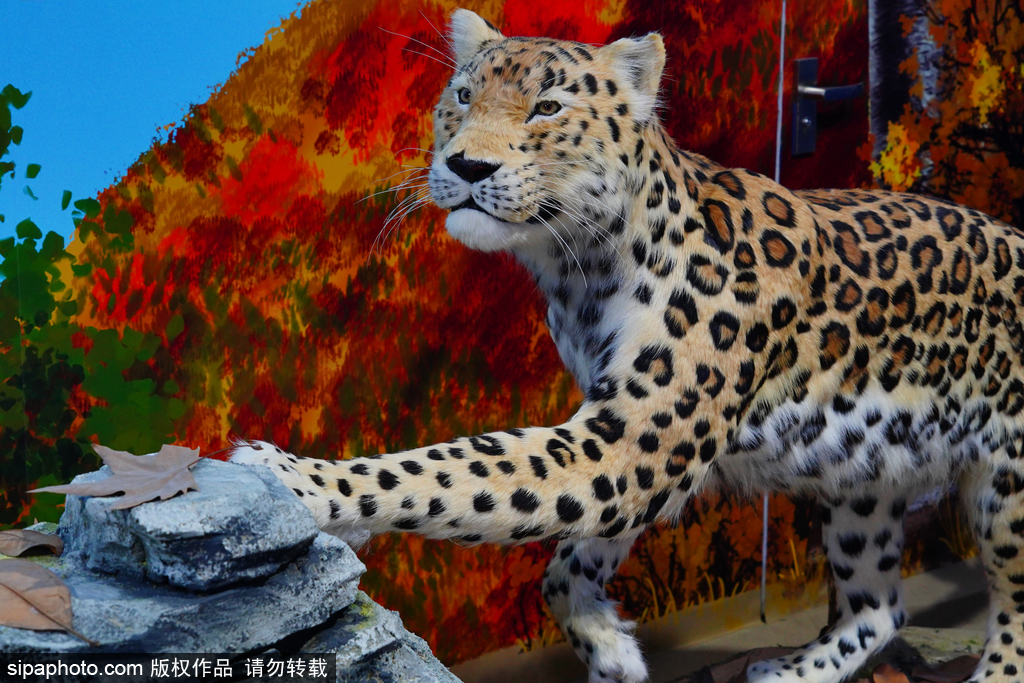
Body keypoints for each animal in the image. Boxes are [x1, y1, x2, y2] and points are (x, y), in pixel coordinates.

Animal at [231, 9, 1024, 683]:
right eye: (460, 96)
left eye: (547, 108)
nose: (465, 167)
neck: (577, 267)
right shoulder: (619, 435)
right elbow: (562, 566)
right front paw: (611, 649)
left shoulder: (632, 445)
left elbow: (445, 470)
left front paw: (295, 477)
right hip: (866, 479)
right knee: (879, 607)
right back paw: (788, 671)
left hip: (1008, 492)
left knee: (1011, 617)